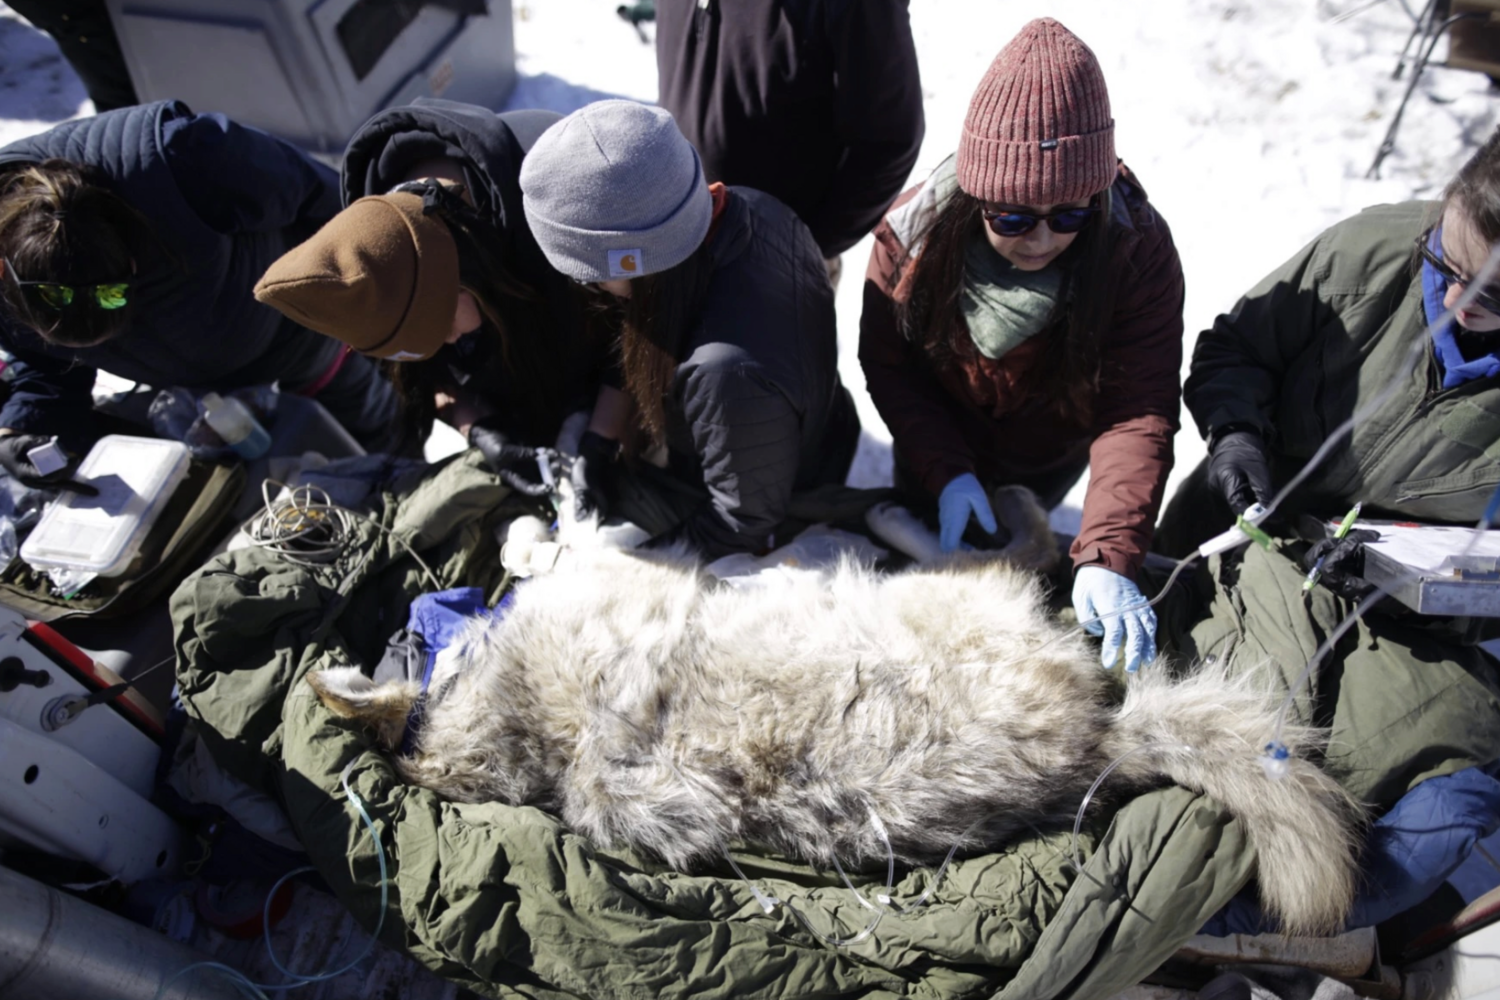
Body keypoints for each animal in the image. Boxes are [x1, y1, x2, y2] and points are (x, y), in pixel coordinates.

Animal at [311, 502, 1362, 936]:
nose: (402, 628)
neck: (522, 728)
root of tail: (1103, 745)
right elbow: (543, 544)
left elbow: (544, 542)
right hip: (953, 592)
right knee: (1015, 543)